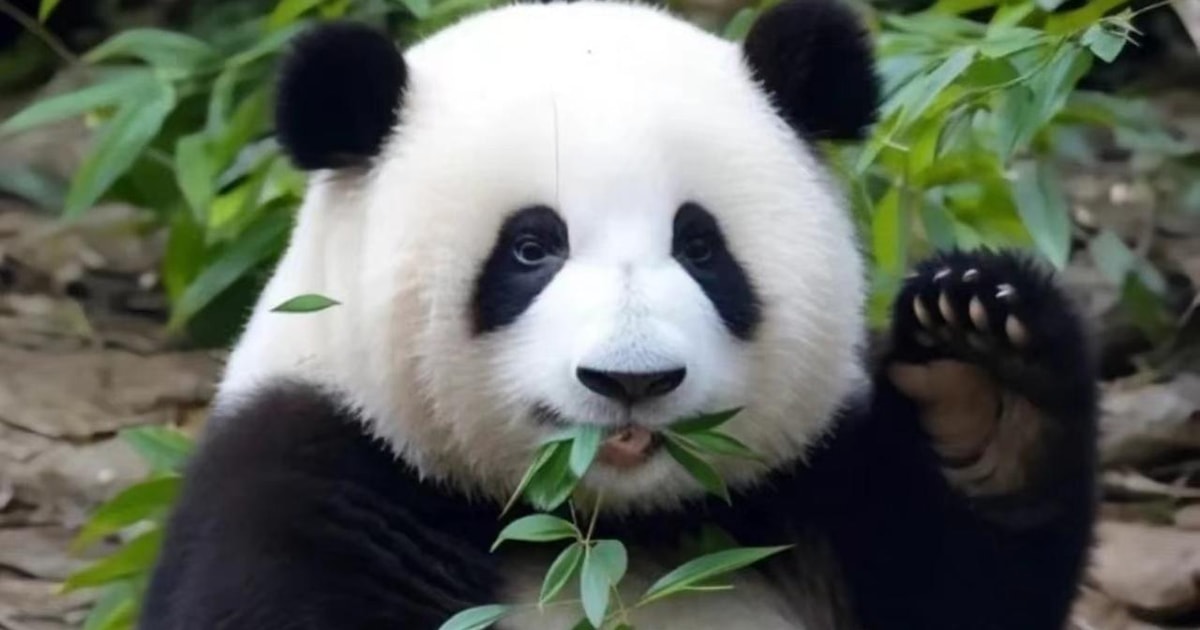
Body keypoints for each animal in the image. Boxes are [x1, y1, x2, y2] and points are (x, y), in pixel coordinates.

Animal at [138, 1, 1099, 629]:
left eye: (701, 246)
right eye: (531, 248)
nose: (632, 379)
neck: (611, 532)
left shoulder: (810, 486)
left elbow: (963, 588)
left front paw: (978, 390)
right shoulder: (317, 471)